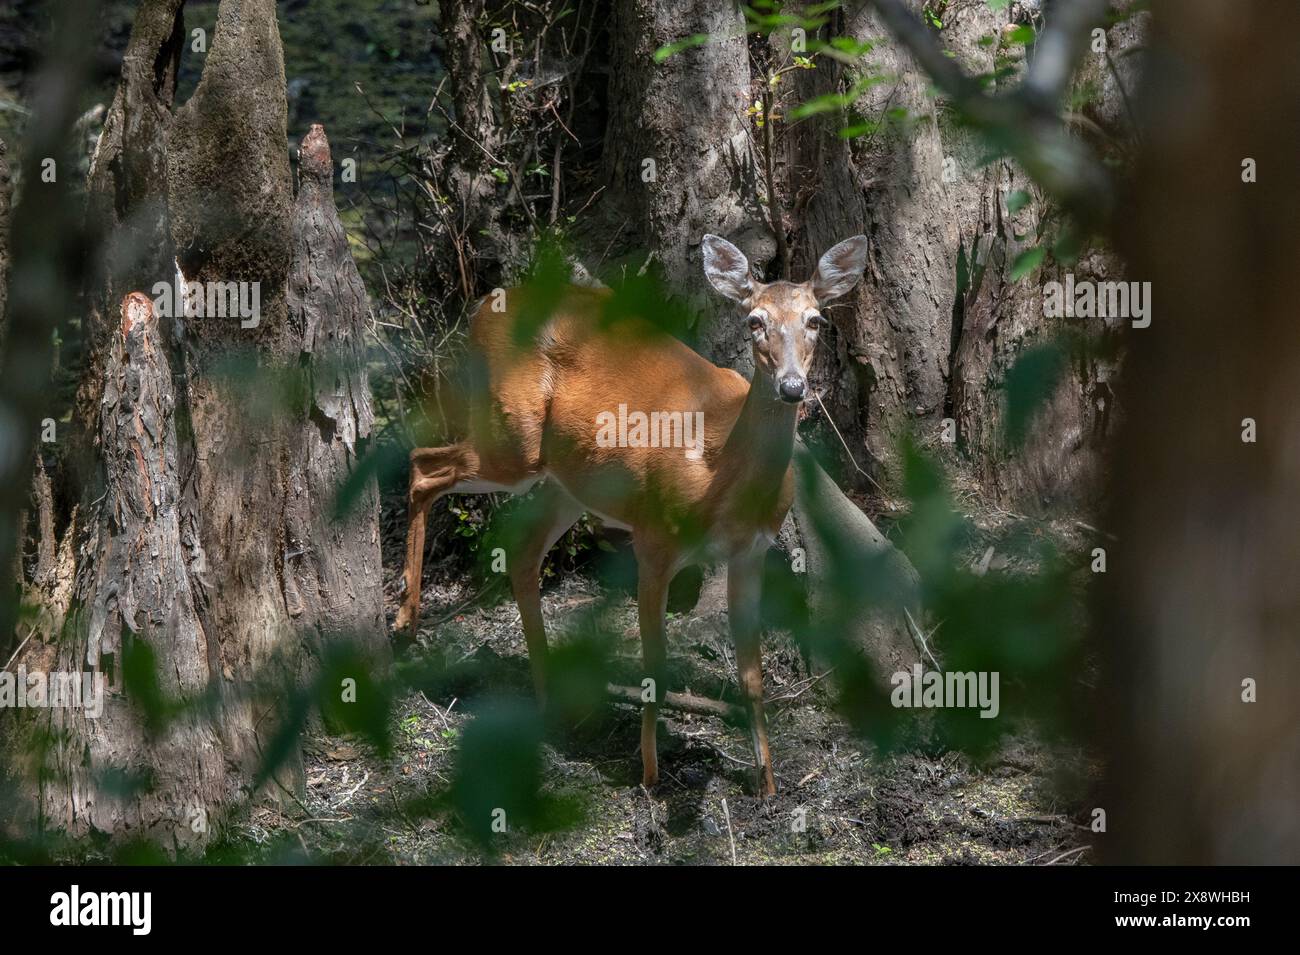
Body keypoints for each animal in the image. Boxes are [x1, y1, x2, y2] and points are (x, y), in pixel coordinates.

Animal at [395, 233, 869, 795]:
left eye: (815, 320)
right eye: (755, 320)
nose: (792, 386)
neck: (721, 473)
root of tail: (486, 305)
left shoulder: (750, 550)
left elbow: (751, 674)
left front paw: (767, 784)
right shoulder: (654, 540)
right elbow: (655, 663)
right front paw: (649, 773)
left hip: (568, 480)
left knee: (522, 550)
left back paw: (546, 696)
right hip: (511, 439)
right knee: (422, 465)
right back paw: (407, 620)